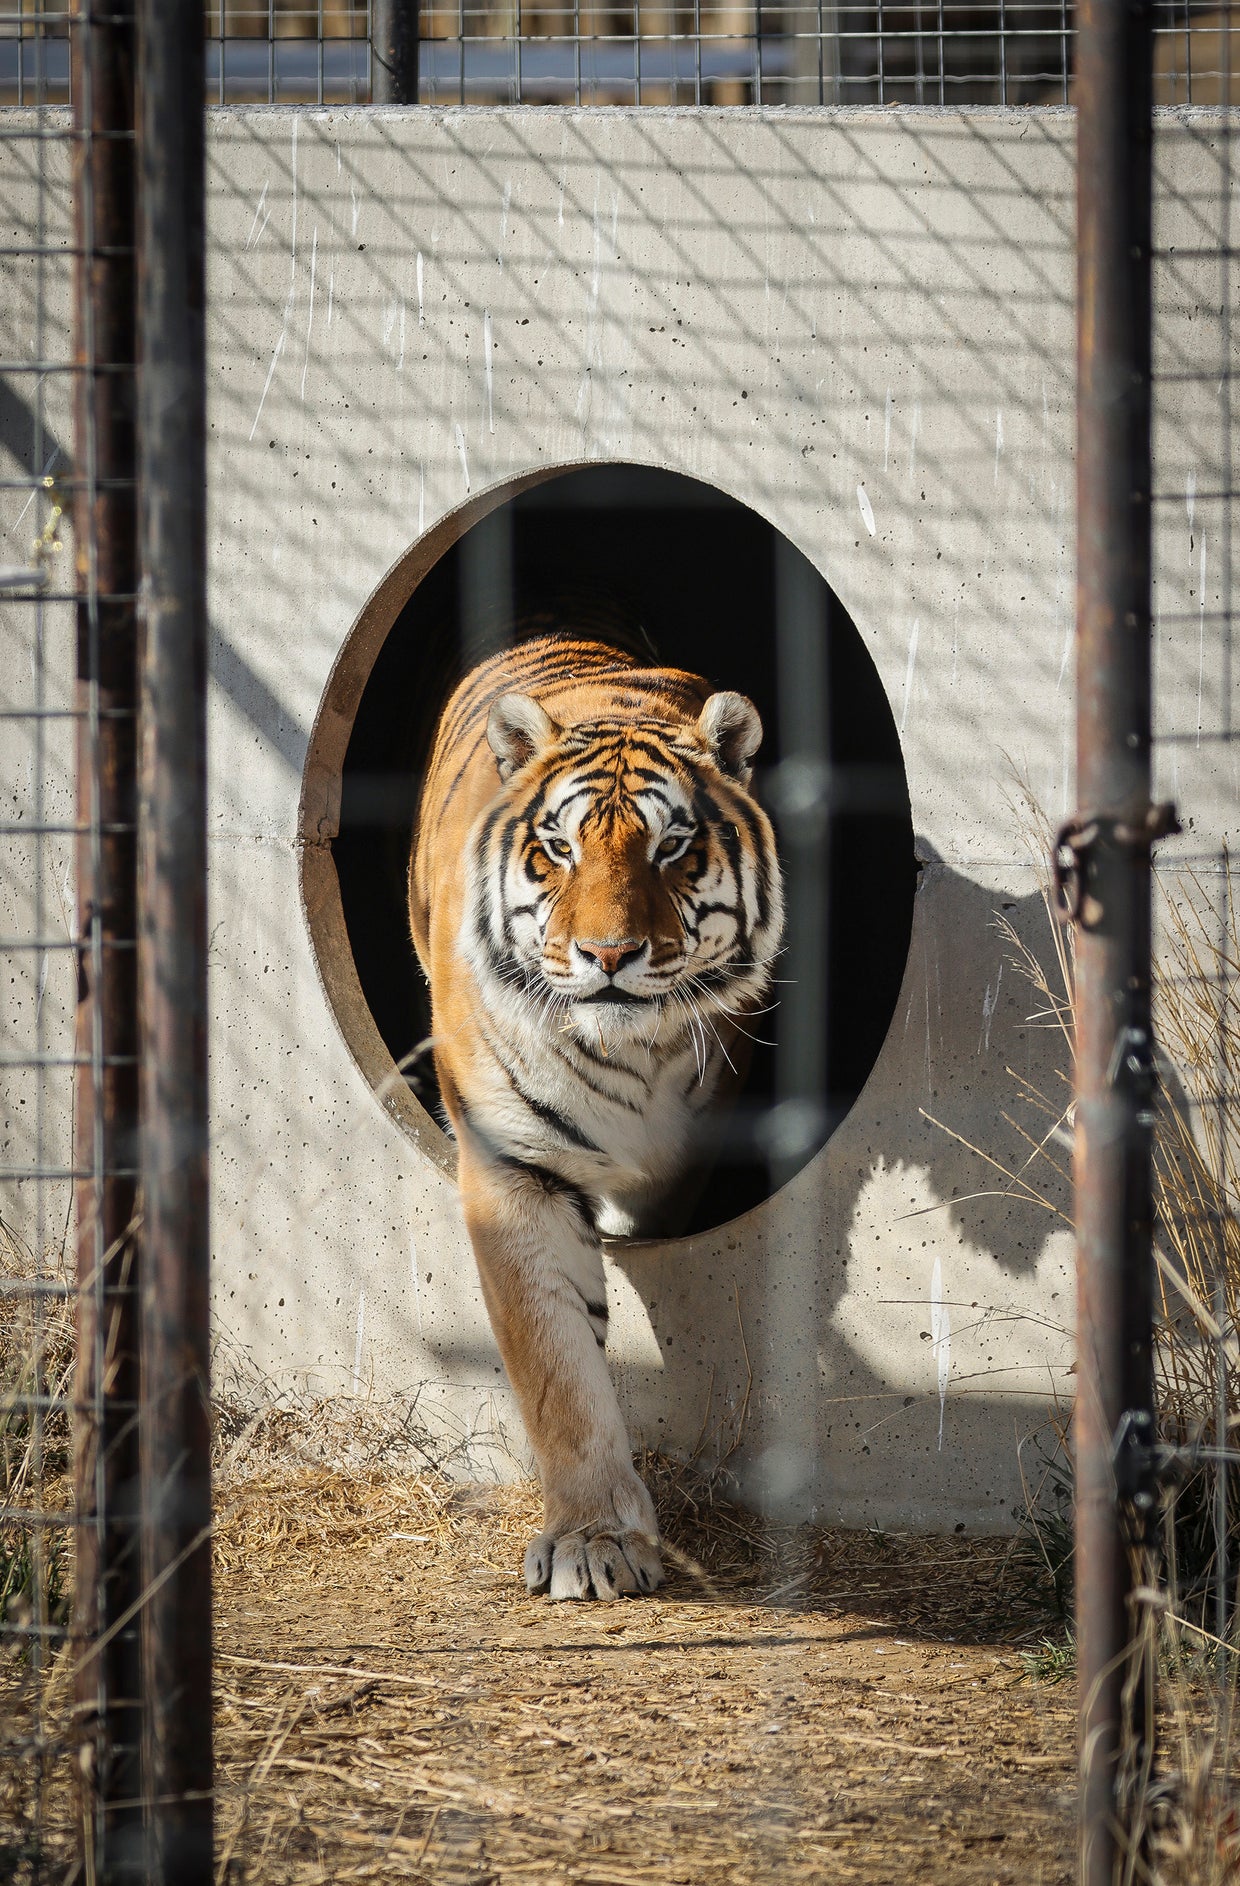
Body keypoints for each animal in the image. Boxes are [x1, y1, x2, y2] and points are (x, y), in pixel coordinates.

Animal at [408, 634, 784, 1600]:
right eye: (558, 849)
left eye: (673, 846)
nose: (609, 955)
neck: (630, 1055)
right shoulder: (515, 1168)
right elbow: (558, 1365)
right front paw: (593, 1538)